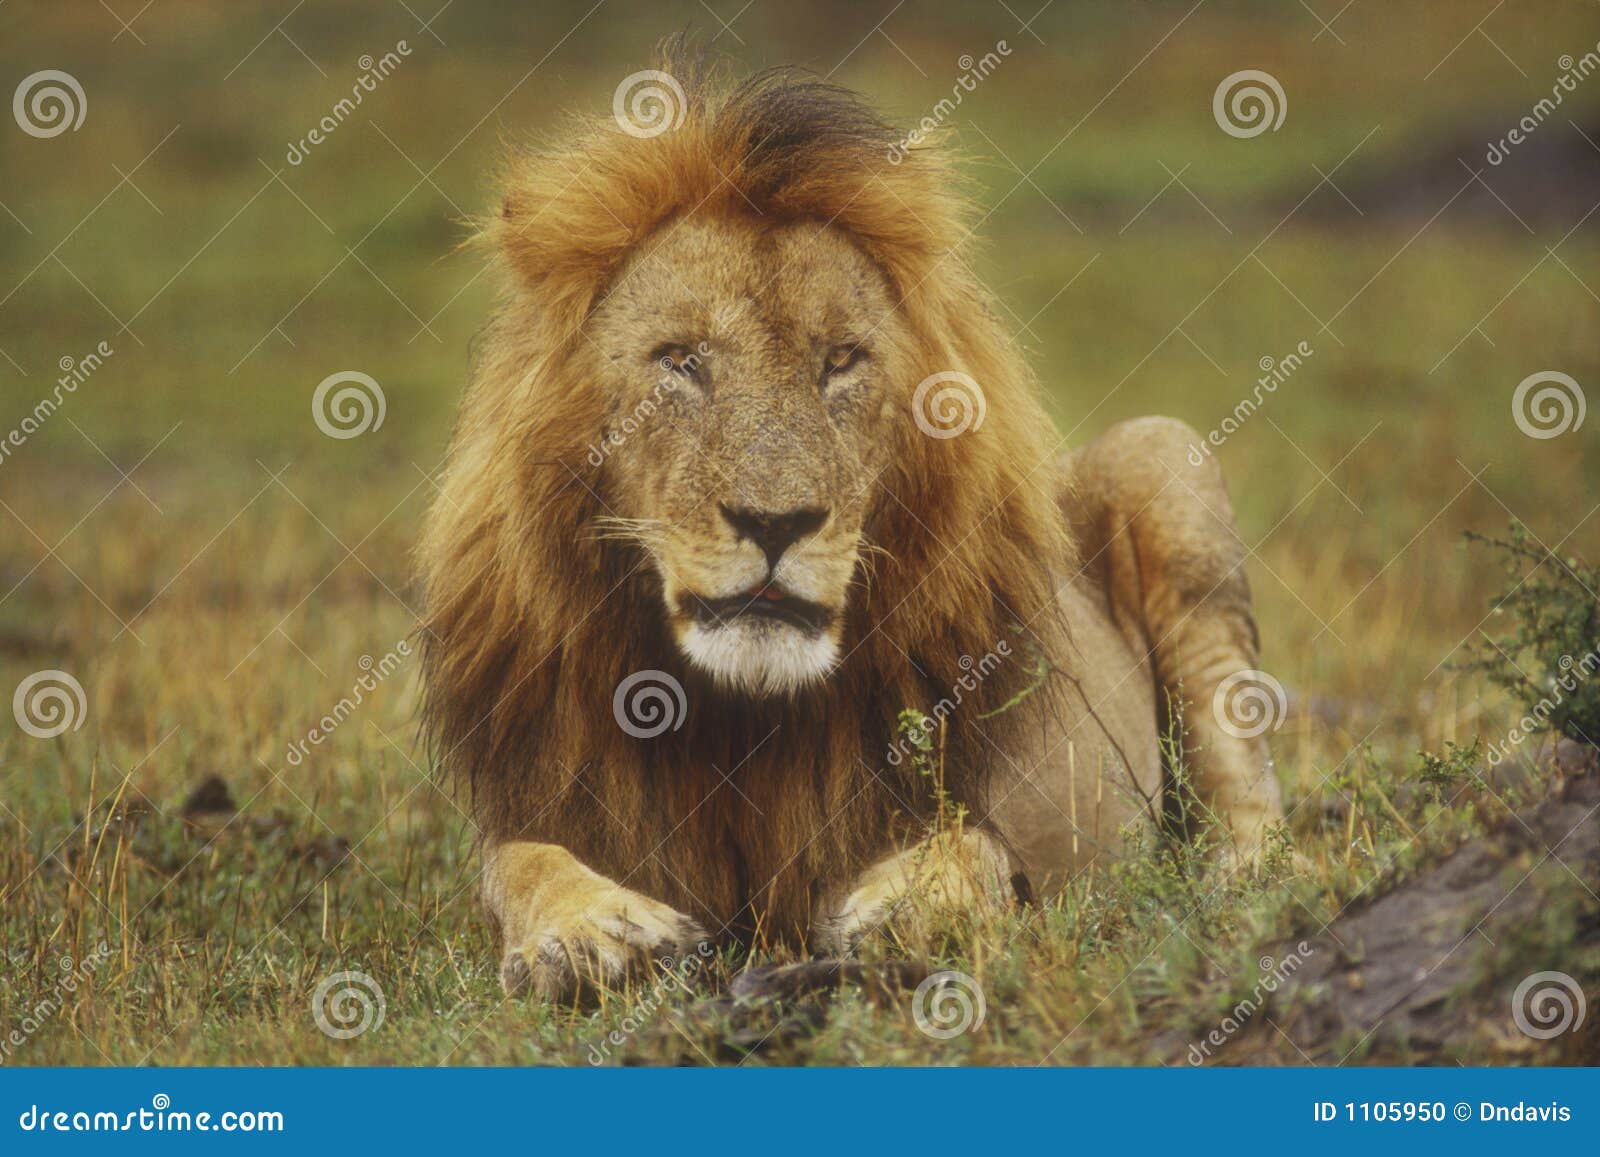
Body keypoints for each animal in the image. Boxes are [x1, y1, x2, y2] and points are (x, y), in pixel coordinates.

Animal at [419, 50, 1284, 1000]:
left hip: (1165, 456)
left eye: (841, 361)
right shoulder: (540, 797)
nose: (776, 522)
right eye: (680, 361)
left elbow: (974, 846)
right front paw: (593, 931)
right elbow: (516, 864)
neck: (739, 721)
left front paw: (907, 902)